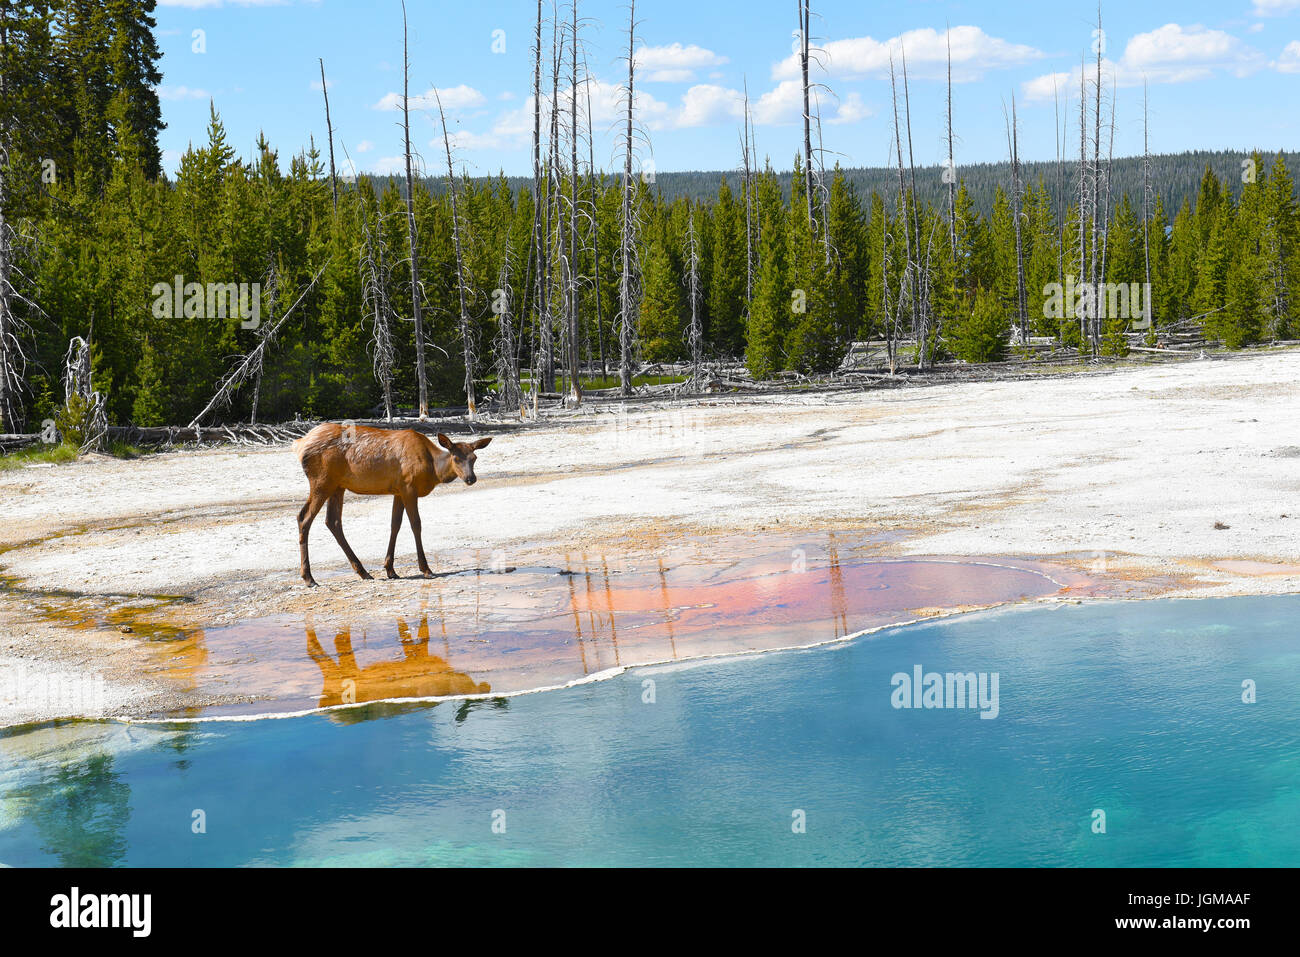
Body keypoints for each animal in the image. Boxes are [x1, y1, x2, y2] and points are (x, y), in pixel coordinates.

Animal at [292, 422, 493, 586]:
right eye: (456, 458)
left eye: (474, 458)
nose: (470, 478)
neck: (432, 470)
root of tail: (300, 444)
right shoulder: (409, 486)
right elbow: (416, 524)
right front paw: (426, 569)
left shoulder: (399, 490)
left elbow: (395, 524)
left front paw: (390, 569)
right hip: (322, 481)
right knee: (304, 517)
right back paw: (309, 578)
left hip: (338, 486)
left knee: (333, 521)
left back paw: (363, 572)